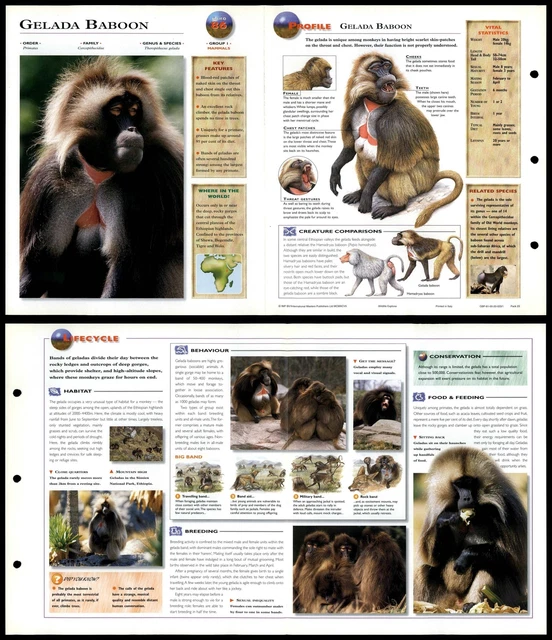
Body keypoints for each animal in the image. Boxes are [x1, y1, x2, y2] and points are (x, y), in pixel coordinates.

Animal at [20, 57, 183, 298]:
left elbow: (127, 267)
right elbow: (39, 271)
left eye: (134, 110)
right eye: (116, 110)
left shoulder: (155, 177)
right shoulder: (50, 181)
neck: (99, 175)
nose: (133, 129)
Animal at [330, 53, 463, 227]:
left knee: (397, 169)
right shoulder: (353, 110)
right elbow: (350, 148)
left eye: (387, 66)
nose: (386, 74)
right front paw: (335, 173)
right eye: (376, 67)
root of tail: (431, 179)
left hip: (421, 180)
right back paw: (360, 192)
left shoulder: (394, 121)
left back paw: (396, 206)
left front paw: (366, 198)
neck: (374, 103)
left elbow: (387, 163)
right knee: (361, 157)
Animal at [414, 446, 527, 611]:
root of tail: (456, 604)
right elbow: (432, 558)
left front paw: (465, 556)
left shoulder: (508, 509)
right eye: (459, 484)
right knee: (424, 569)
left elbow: (514, 560)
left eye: (469, 483)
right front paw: (445, 520)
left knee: (490, 567)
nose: (466, 498)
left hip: (508, 598)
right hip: (446, 599)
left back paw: (473, 605)